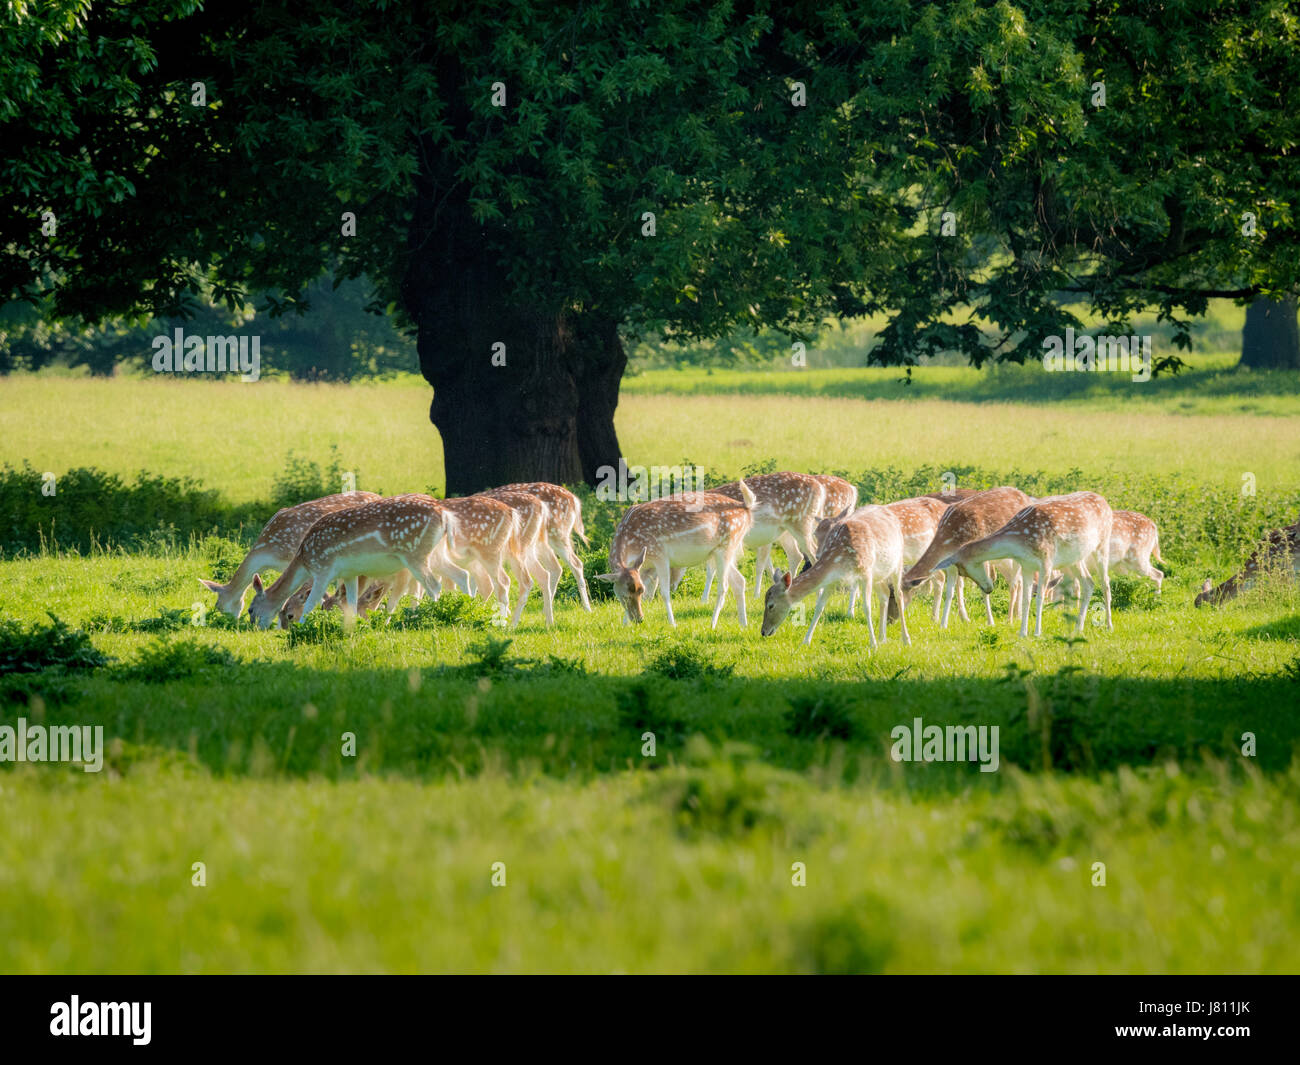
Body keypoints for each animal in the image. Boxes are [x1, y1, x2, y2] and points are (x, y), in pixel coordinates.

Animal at [246, 494, 470, 628]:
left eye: (250, 609)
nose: (255, 627)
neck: (304, 558)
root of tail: (445, 515)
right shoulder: (349, 573)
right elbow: (351, 603)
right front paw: (353, 628)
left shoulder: (323, 570)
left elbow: (310, 603)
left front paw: (303, 628)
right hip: (436, 552)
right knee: (462, 574)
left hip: (414, 553)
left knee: (434, 585)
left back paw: (433, 616)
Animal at [597, 481, 756, 628]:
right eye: (623, 595)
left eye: (641, 591)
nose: (639, 619)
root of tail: (746, 507)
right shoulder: (643, 564)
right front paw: (625, 625)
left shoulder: (659, 553)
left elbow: (664, 592)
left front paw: (673, 624)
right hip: (720, 551)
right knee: (740, 581)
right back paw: (743, 624)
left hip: (727, 545)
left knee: (723, 587)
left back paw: (713, 624)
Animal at [761, 505, 911, 648]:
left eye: (771, 605)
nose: (763, 631)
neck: (840, 558)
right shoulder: (832, 580)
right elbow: (819, 607)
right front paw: (805, 642)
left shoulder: (866, 572)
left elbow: (867, 607)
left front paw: (873, 645)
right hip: (878, 574)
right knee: (885, 594)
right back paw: (882, 638)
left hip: (897, 561)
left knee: (898, 594)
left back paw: (905, 639)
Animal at [900, 486, 1033, 627]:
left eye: (900, 595)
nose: (894, 618)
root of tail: (1026, 496)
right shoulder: (951, 563)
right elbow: (950, 591)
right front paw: (943, 624)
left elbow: (984, 588)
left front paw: (990, 622)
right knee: (1018, 579)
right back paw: (1017, 616)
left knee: (1016, 581)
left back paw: (1011, 619)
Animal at [934, 492, 1114, 637]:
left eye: (963, 569)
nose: (988, 588)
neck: (1019, 540)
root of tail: (1105, 502)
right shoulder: (1027, 565)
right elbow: (1026, 598)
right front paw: (1022, 633)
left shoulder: (1046, 561)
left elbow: (1039, 597)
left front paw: (1037, 632)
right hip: (1075, 559)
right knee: (1088, 583)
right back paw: (1078, 628)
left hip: (1102, 545)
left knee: (1105, 583)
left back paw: (1108, 625)